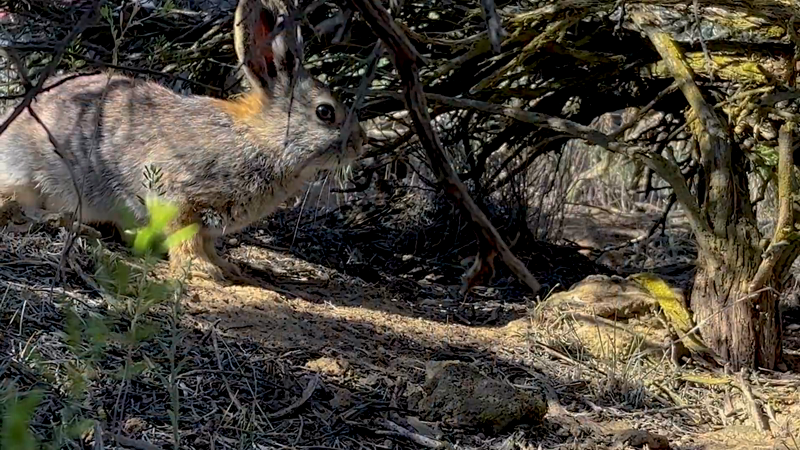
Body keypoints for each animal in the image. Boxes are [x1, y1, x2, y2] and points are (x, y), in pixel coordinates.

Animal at [0, 0, 365, 283]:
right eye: (325, 112)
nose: (360, 143)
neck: (261, 139)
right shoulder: (178, 197)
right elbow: (184, 239)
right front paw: (203, 270)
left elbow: (206, 243)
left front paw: (225, 267)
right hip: (33, 178)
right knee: (18, 208)